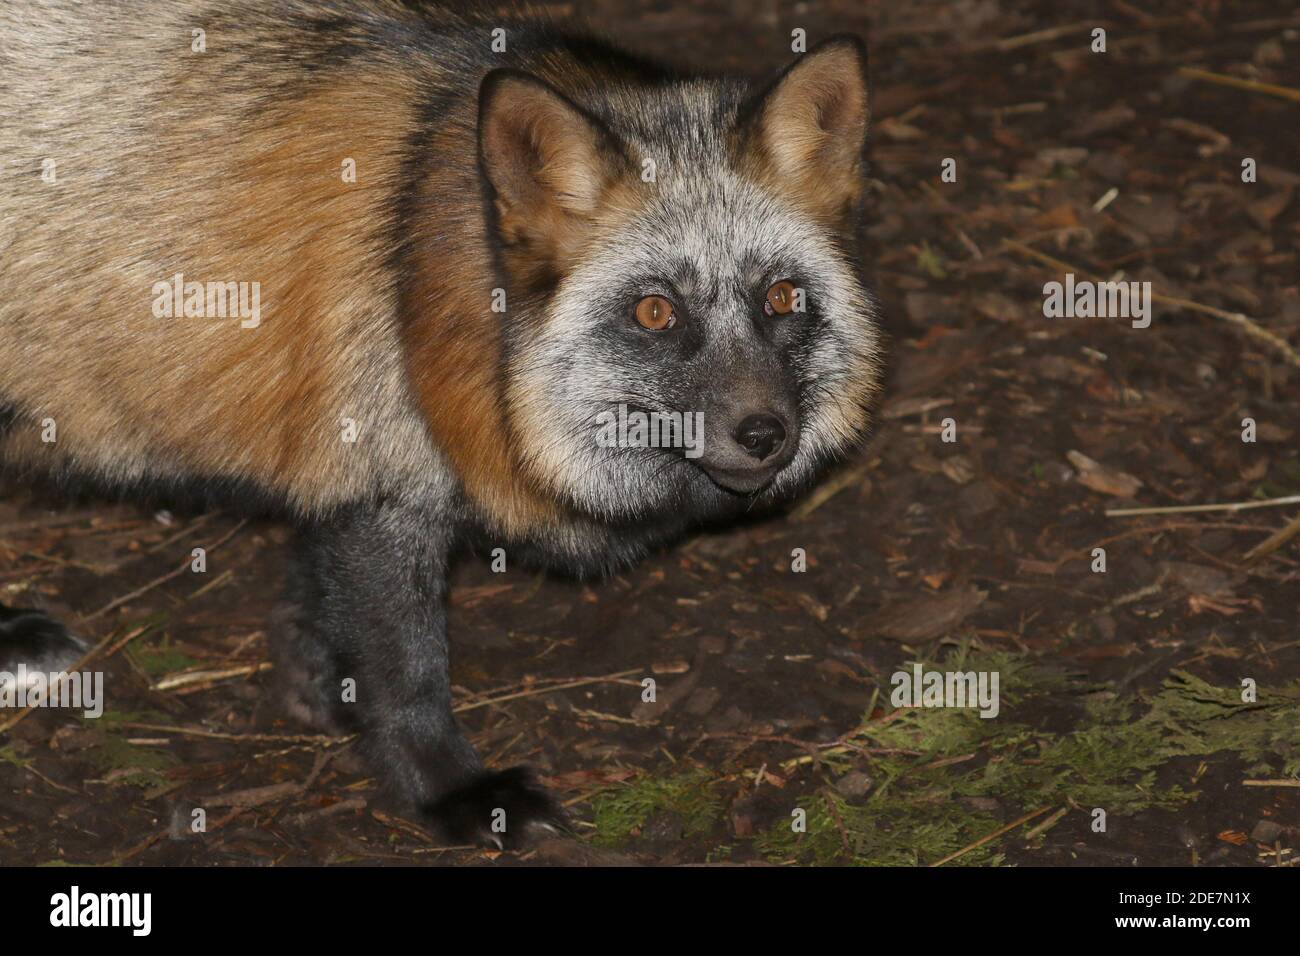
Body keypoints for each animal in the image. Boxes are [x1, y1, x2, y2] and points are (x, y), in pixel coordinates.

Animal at [0, 0, 882, 846]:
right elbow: (407, 674)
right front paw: (451, 794)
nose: (764, 433)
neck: (417, 269)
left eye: (781, 299)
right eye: (656, 312)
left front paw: (314, 681)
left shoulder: (337, 470)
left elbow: (315, 598)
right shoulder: (381, 486)